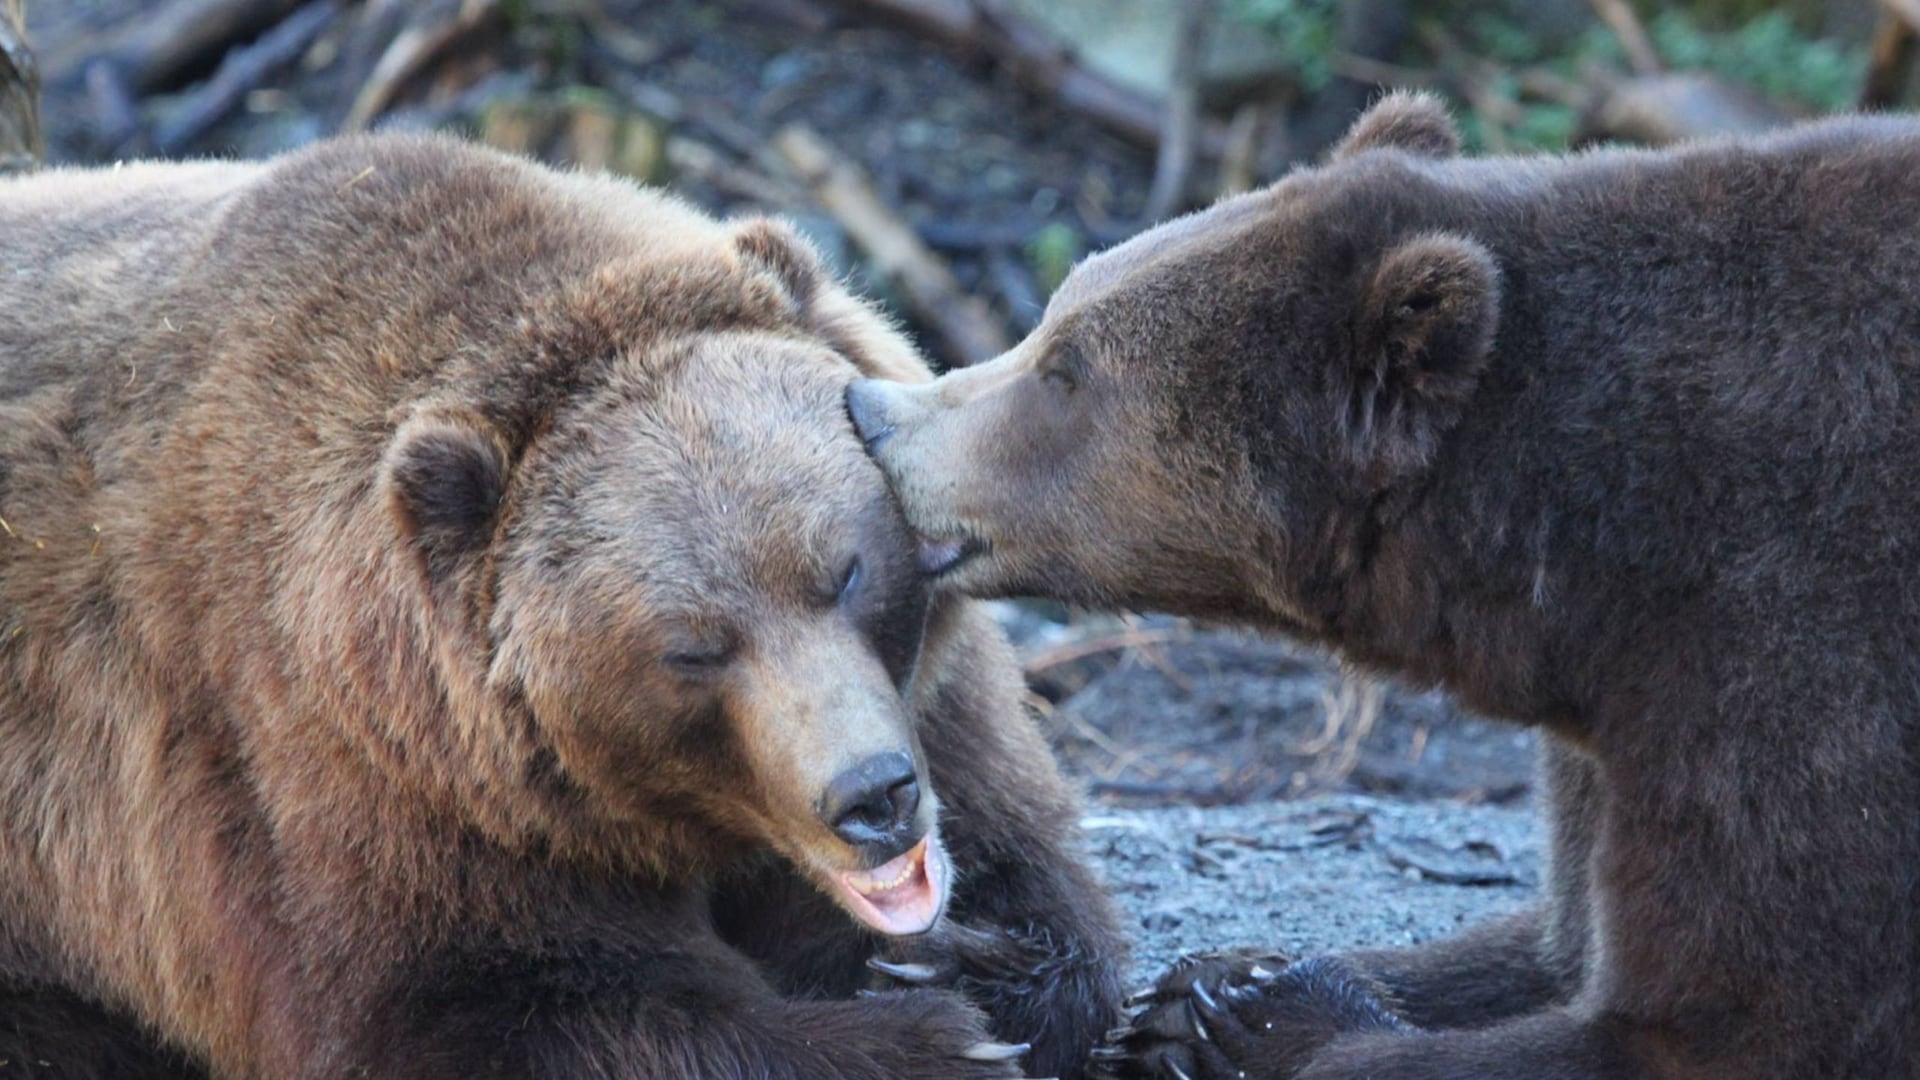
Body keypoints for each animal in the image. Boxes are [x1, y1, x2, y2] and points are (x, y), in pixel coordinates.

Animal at [0, 133, 1125, 1079]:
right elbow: (493, 1009)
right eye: (692, 649)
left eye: (845, 569)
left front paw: (971, 965)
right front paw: (935, 1037)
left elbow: (1027, 866)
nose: (871, 794)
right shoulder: (356, 781)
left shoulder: (934, 700)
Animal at [848, 91, 1920, 1080]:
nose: (871, 410)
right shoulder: (1615, 720)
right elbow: (1553, 940)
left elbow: (1729, 1015)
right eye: (1056, 313)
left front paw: (1263, 1016)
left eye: (1066, 372)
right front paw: (1151, 989)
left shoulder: (1792, 643)